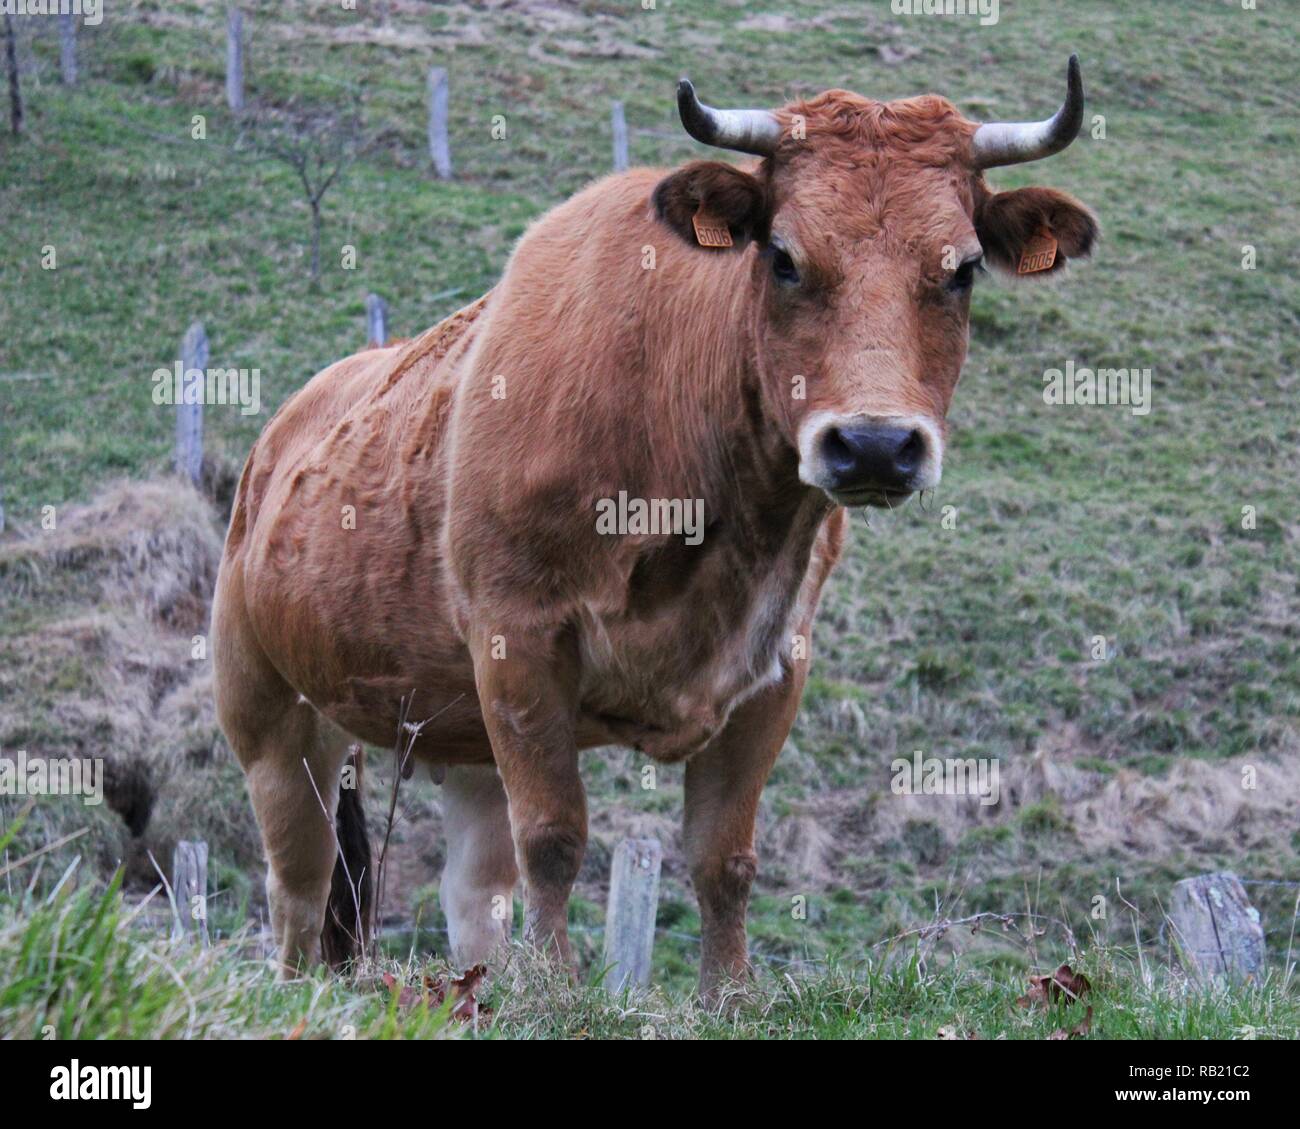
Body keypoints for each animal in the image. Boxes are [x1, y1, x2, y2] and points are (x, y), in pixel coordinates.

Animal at [212, 58, 1097, 997]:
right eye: (784, 257)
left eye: (962, 269)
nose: (875, 445)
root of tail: (278, 439)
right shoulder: (518, 636)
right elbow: (554, 837)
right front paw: (560, 993)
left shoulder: (775, 663)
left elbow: (722, 857)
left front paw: (728, 996)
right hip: (272, 721)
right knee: (301, 884)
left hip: (460, 732)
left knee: (473, 888)